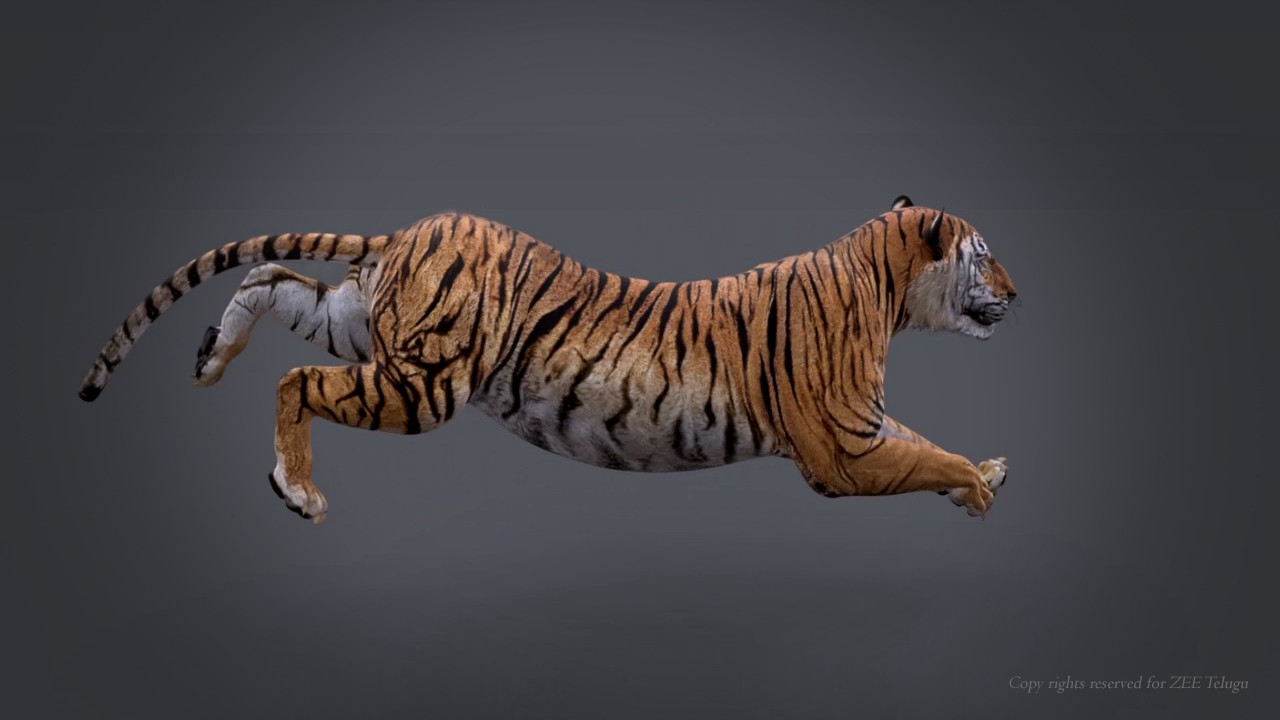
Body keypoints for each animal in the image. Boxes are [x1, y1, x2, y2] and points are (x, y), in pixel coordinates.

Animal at [80, 196, 1018, 525]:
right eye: (986, 252)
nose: (1020, 289)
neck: (886, 284)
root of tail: (408, 229)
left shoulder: (861, 429)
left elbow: (926, 444)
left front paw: (987, 475)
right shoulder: (843, 447)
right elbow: (925, 455)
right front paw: (978, 488)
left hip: (368, 331)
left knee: (271, 281)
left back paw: (211, 356)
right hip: (423, 383)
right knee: (295, 377)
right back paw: (297, 490)